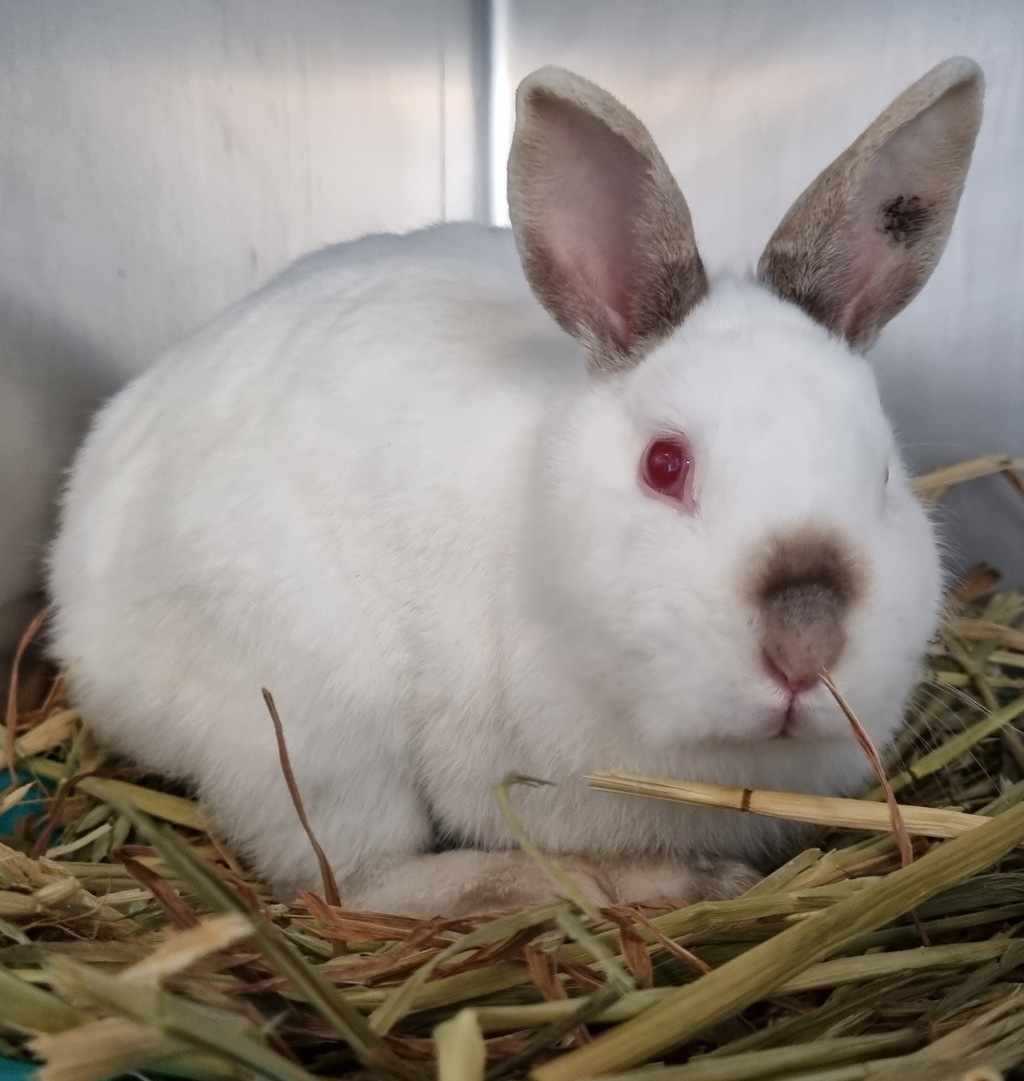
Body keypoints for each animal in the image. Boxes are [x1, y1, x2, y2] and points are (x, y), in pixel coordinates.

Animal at [47, 57, 982, 916]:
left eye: (883, 471)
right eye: (663, 464)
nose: (804, 645)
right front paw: (671, 876)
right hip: (304, 729)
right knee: (354, 883)